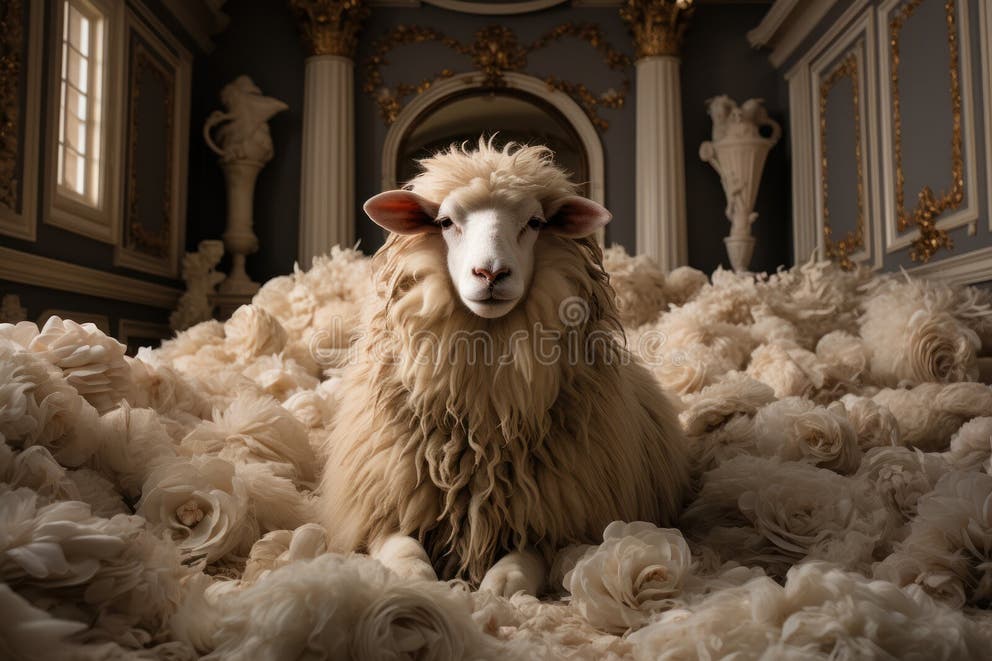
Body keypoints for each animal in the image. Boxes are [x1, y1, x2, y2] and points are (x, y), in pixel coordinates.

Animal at [319, 140, 689, 596]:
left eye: (535, 222)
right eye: (445, 221)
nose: (490, 273)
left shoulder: (559, 519)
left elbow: (519, 568)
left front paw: (494, 593)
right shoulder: (381, 506)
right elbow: (404, 553)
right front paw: (422, 585)